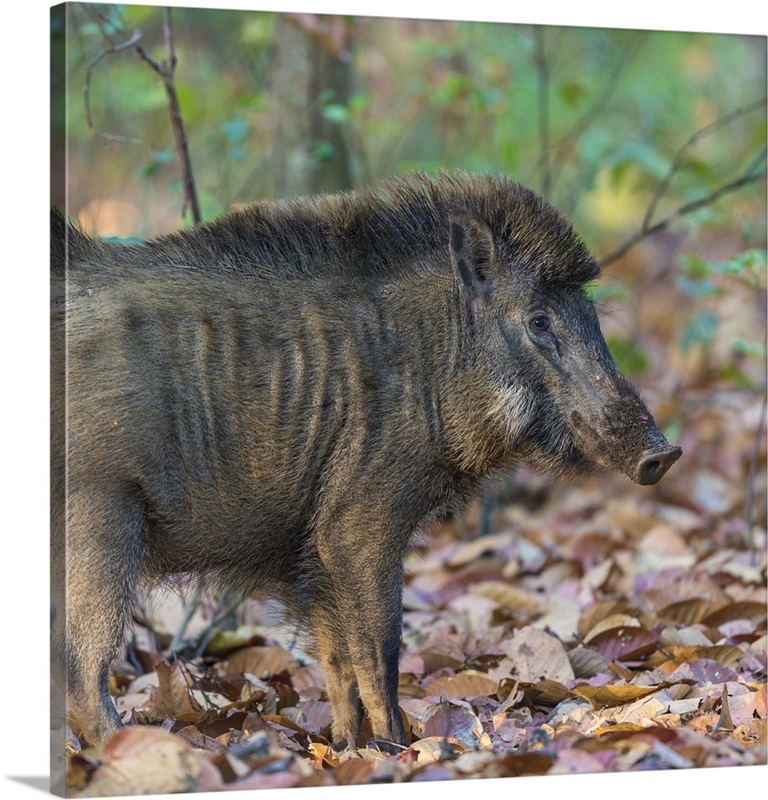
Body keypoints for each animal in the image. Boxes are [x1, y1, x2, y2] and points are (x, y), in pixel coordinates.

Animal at [50, 171, 681, 751]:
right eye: (540, 320)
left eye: (592, 317)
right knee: (79, 672)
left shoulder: (310, 545)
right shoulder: (358, 518)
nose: (664, 453)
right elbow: (380, 648)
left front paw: (344, 748)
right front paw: (400, 749)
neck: (436, 360)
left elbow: (337, 660)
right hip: (99, 512)